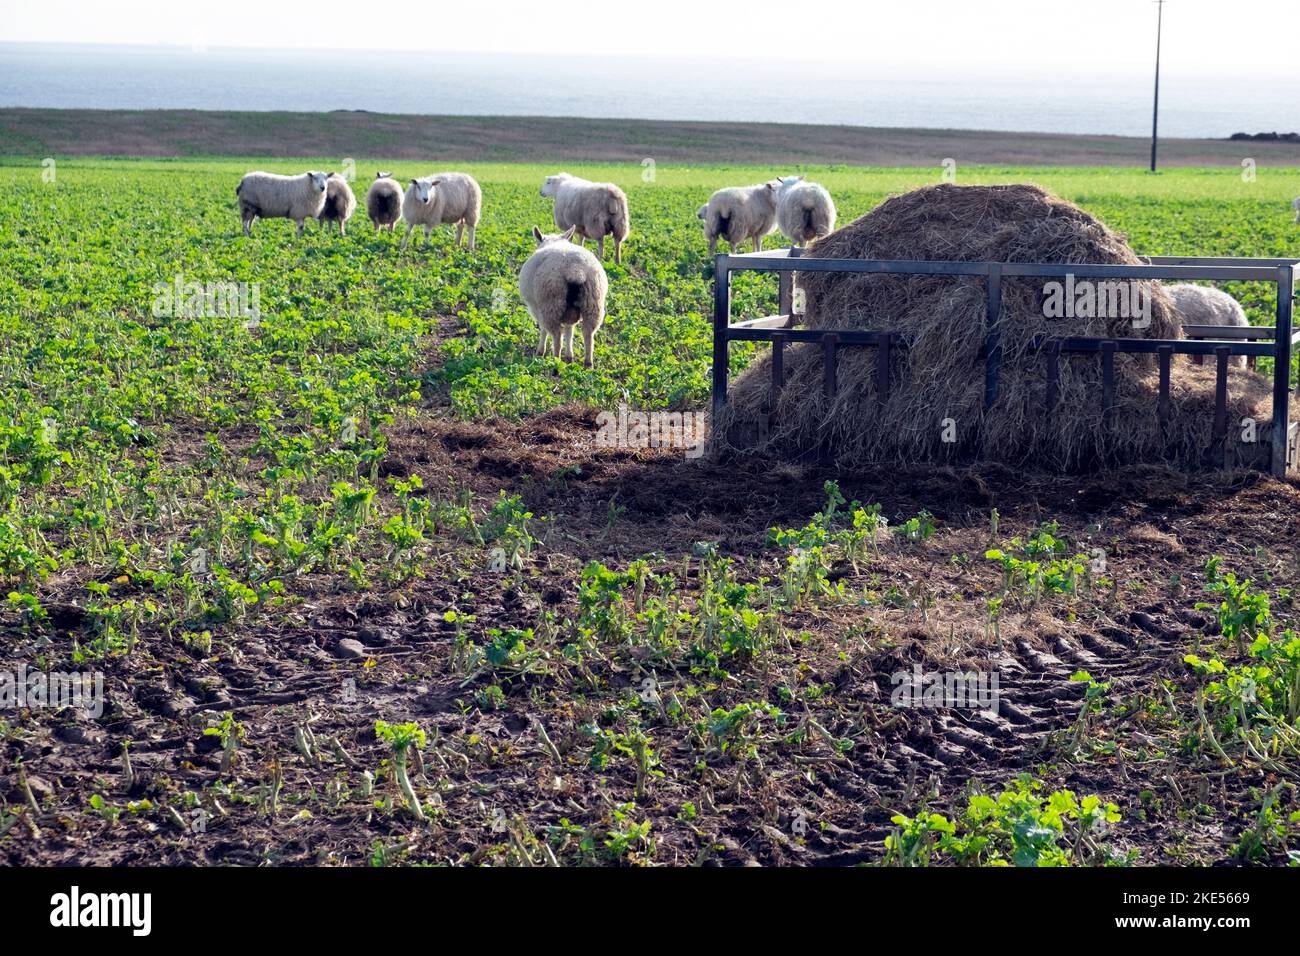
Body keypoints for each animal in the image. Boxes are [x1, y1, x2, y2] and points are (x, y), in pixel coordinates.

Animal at [518, 226, 609, 368]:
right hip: (593, 303)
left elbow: (543, 330)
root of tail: (575, 270)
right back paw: (588, 363)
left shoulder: (536, 308)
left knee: (557, 336)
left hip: (551, 304)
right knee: (588, 334)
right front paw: (569, 356)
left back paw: (555, 362)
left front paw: (540, 352)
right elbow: (569, 330)